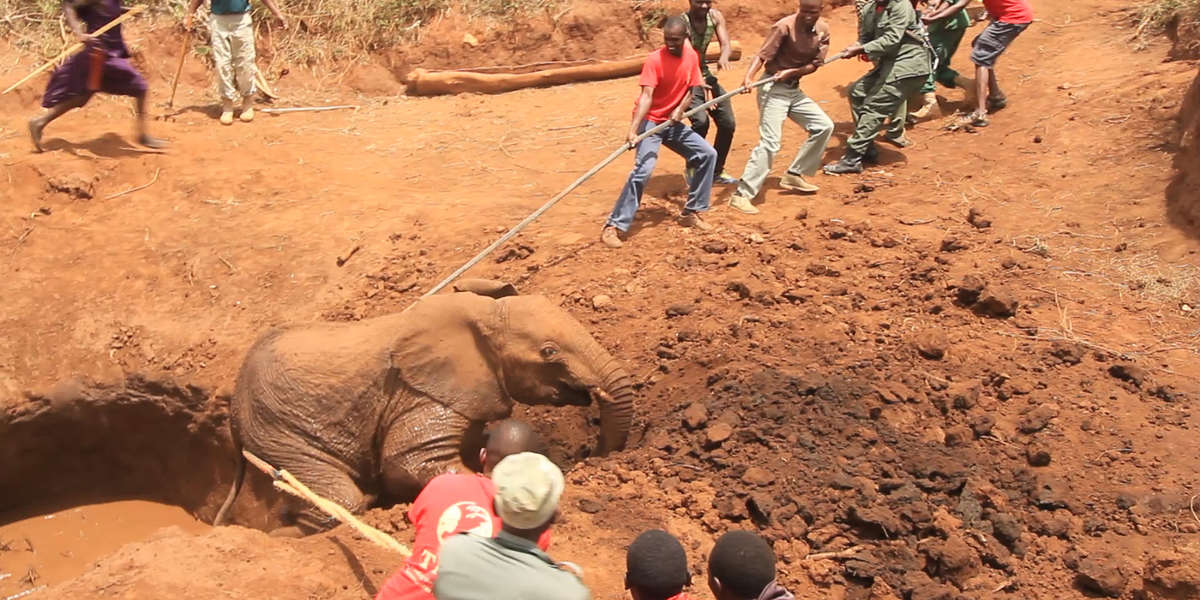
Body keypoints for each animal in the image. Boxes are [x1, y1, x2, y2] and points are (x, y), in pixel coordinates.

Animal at [212, 279, 635, 532]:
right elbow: (410, 460)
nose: (593, 451)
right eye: (549, 353)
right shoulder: (419, 392)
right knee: (339, 500)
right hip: (275, 429)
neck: (481, 314)